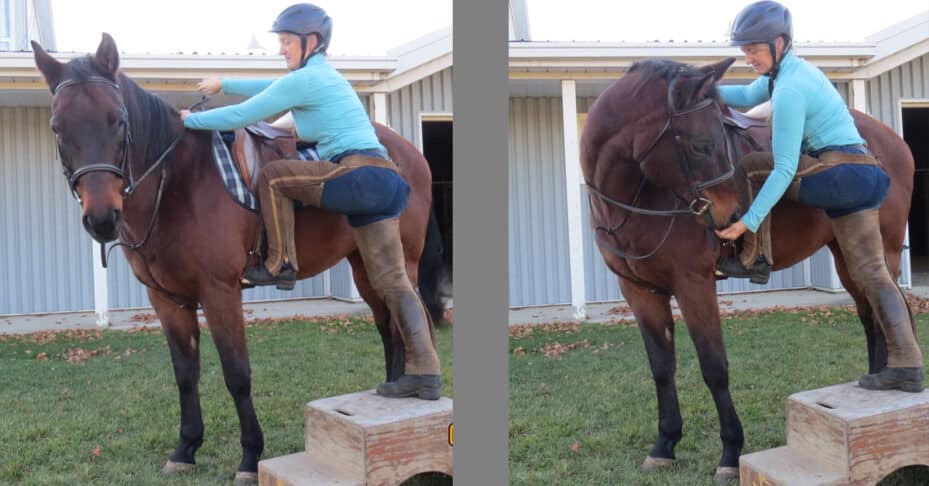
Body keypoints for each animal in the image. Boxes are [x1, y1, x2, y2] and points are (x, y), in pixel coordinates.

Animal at [31, 33, 445, 484]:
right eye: (57, 128)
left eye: (118, 121)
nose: (103, 218)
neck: (177, 182)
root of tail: (406, 154)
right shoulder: (167, 299)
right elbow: (185, 374)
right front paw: (186, 448)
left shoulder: (220, 292)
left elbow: (237, 374)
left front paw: (249, 457)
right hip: (363, 263)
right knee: (388, 326)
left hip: (398, 261)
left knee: (408, 317)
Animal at [580, 57, 914, 481]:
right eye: (701, 144)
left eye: (715, 140)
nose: (734, 215)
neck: (636, 200)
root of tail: (891, 143)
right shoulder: (640, 291)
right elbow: (661, 367)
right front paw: (664, 444)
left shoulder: (693, 285)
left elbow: (714, 367)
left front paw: (729, 452)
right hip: (846, 253)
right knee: (872, 318)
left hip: (881, 252)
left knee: (890, 310)